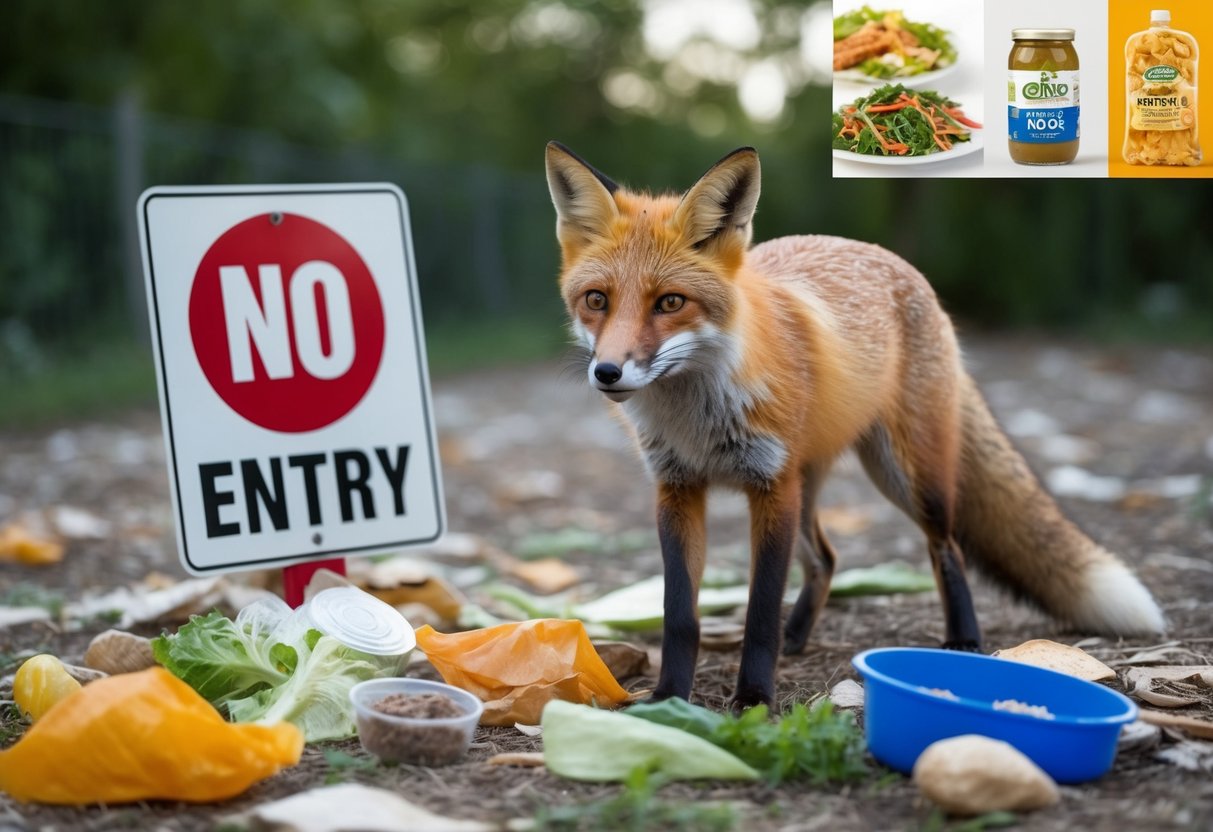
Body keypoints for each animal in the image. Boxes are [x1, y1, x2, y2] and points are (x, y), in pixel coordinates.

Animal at [544, 141, 1166, 710]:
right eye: (596, 300)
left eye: (670, 302)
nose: (607, 372)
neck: (696, 418)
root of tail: (895, 261)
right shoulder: (678, 489)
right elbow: (680, 615)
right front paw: (669, 699)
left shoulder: (771, 488)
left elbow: (760, 611)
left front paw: (754, 699)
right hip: (809, 486)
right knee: (827, 559)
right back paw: (798, 638)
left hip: (904, 477)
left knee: (946, 547)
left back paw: (963, 639)